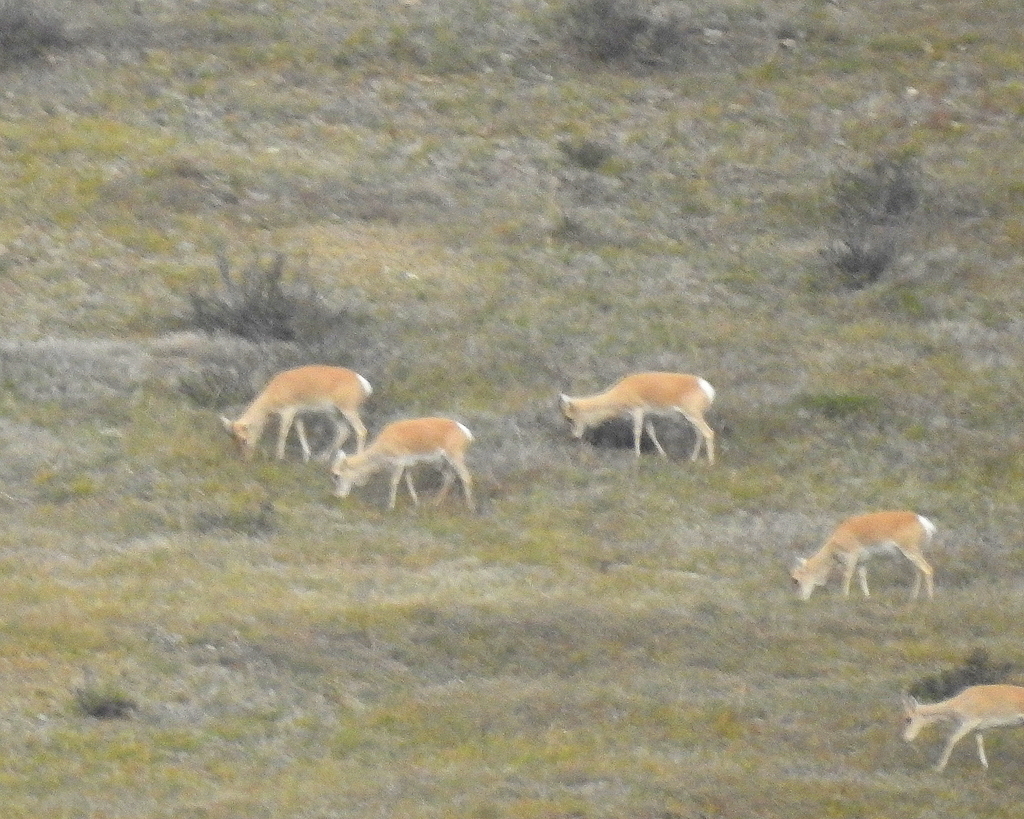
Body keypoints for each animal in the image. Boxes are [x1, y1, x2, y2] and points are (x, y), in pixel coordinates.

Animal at [221, 365, 371, 462]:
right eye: (233, 439)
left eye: (244, 439)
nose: (244, 459)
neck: (274, 393)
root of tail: (364, 384)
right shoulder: (299, 414)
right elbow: (300, 430)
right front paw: (306, 456)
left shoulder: (288, 411)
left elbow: (283, 432)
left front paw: (279, 456)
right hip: (335, 413)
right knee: (343, 431)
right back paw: (320, 458)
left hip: (348, 409)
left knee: (361, 430)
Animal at [331, 417, 475, 511]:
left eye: (337, 475)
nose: (338, 496)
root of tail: (465, 431)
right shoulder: (408, 467)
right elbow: (409, 482)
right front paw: (416, 502)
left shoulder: (399, 464)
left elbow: (393, 482)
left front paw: (390, 507)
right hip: (441, 463)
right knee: (449, 477)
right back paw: (435, 503)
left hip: (455, 458)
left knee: (466, 477)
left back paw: (470, 508)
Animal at [558, 372, 716, 463]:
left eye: (569, 418)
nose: (574, 436)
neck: (621, 391)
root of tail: (707, 388)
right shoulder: (648, 415)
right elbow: (651, 432)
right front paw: (663, 454)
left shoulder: (637, 412)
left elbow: (637, 432)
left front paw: (637, 455)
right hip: (692, 418)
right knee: (699, 434)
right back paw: (693, 459)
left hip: (693, 416)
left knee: (708, 433)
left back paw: (710, 463)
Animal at [790, 510, 935, 600]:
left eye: (796, 579)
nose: (800, 599)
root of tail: (921, 520)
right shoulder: (863, 562)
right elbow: (862, 577)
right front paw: (867, 596)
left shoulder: (852, 557)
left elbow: (847, 575)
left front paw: (844, 596)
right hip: (911, 556)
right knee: (918, 572)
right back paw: (913, 598)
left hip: (910, 552)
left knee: (927, 569)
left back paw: (930, 599)